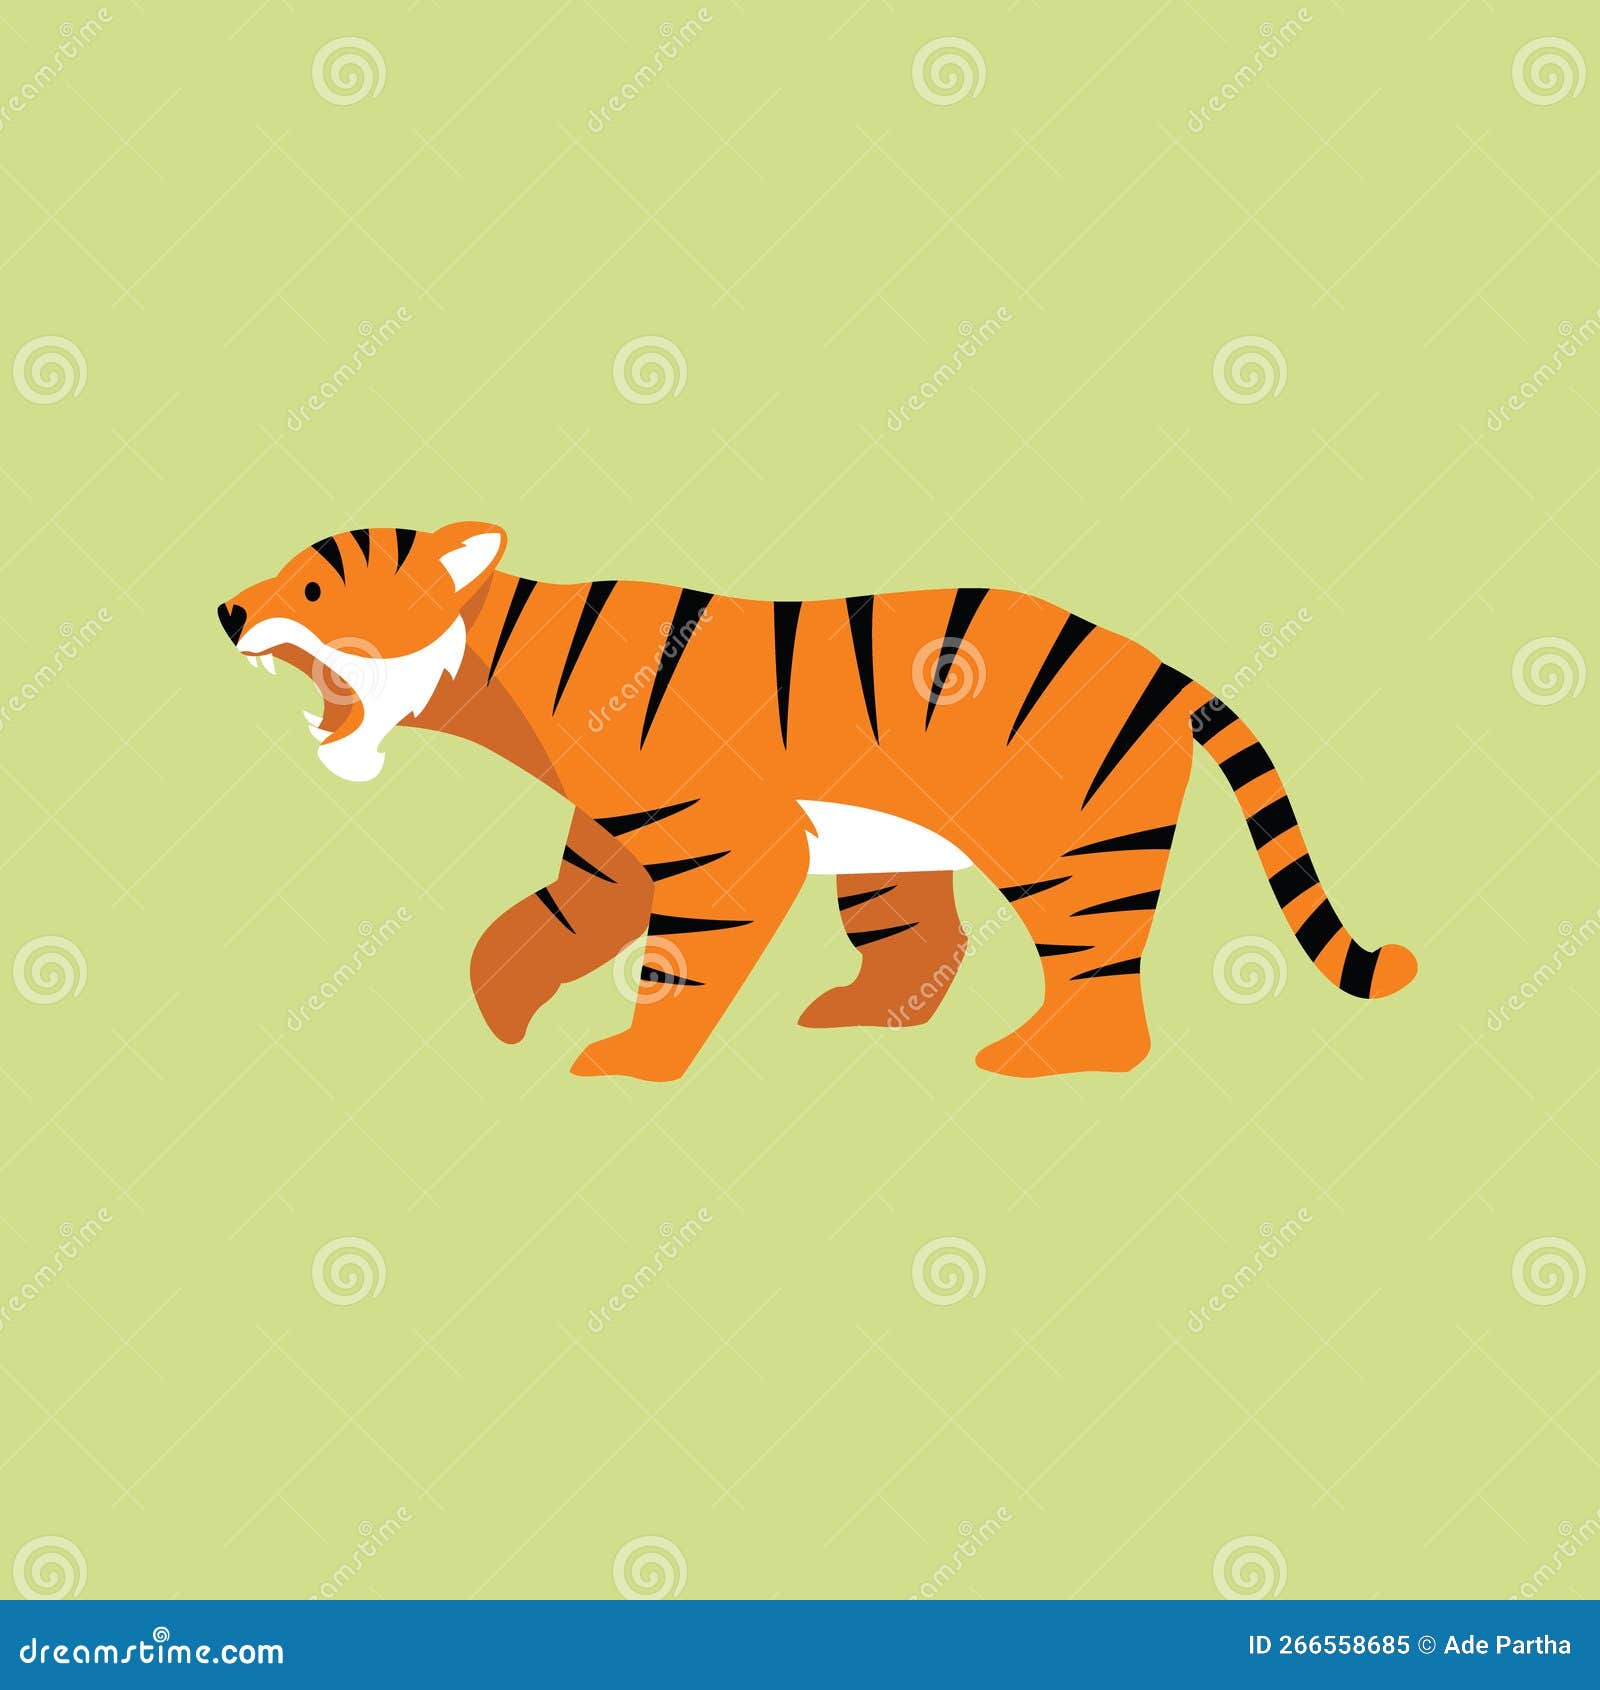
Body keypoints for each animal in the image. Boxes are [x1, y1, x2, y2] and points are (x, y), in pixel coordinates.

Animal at [217, 520, 1416, 1080]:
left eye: (312, 584)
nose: (225, 609)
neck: (501, 670)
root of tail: (1165, 668)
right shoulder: (611, 843)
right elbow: (545, 922)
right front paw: (502, 1014)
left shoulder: (722, 845)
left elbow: (679, 958)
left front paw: (631, 1063)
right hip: (897, 853)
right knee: (924, 941)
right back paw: (861, 1015)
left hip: (1068, 844)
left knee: (1097, 963)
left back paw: (1045, 1058)